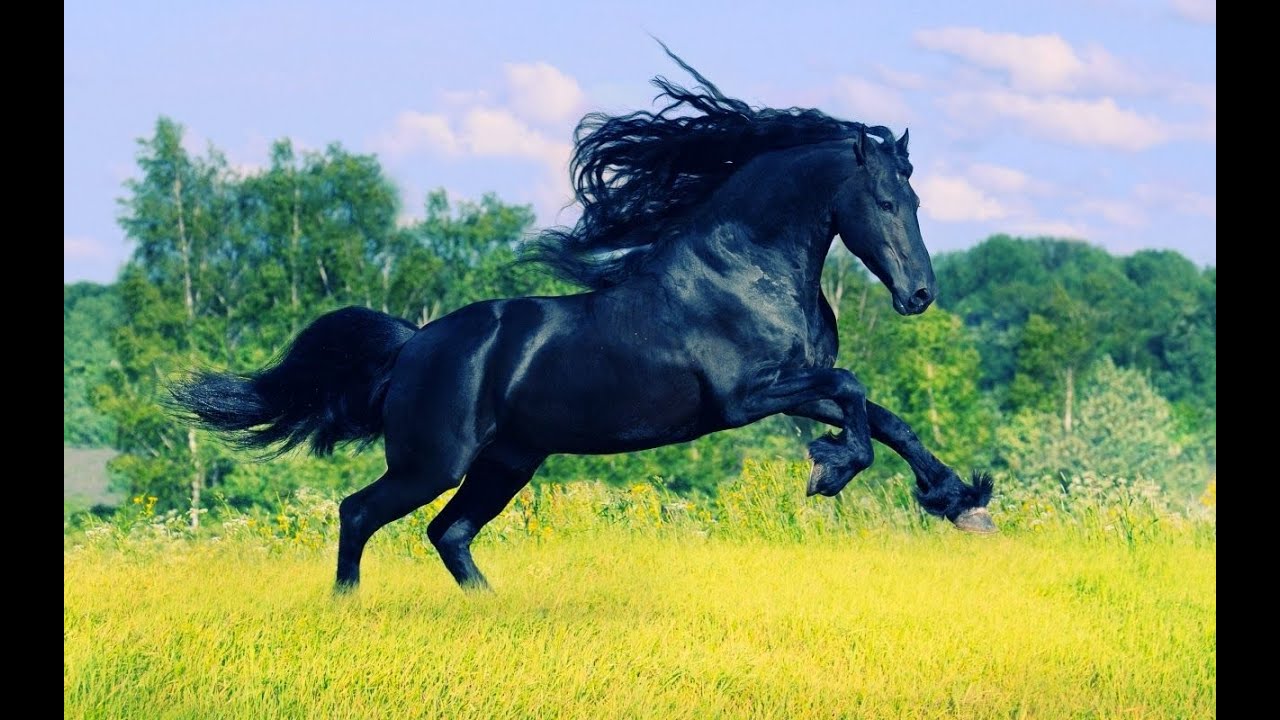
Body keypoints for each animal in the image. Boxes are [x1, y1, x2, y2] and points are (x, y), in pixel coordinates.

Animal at [172, 46, 996, 593]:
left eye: (916, 199)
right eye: (885, 201)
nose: (919, 295)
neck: (744, 269)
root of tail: (411, 347)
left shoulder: (795, 384)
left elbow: (887, 417)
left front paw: (961, 503)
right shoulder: (747, 398)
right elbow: (856, 392)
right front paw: (831, 470)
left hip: (507, 461)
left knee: (448, 532)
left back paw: (492, 610)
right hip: (433, 461)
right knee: (358, 512)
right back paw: (349, 609)